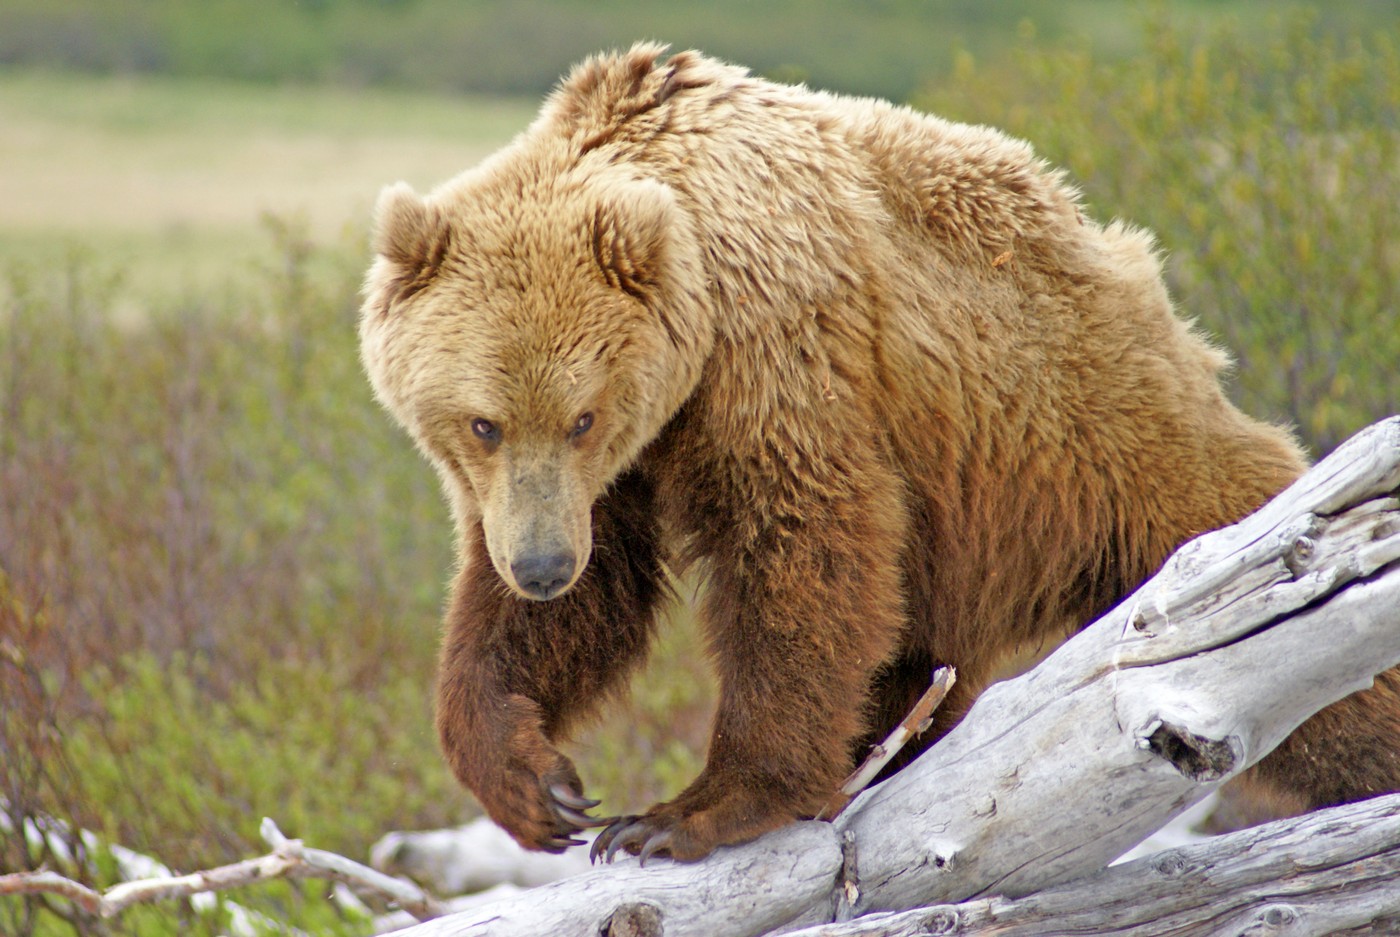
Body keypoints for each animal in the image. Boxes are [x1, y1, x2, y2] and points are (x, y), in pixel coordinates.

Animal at [359, 43, 1400, 863]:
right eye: (482, 421)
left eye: (581, 415)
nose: (541, 564)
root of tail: (1160, 306)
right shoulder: (602, 477)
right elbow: (588, 593)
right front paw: (535, 780)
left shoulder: (774, 353)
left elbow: (806, 550)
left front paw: (685, 813)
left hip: (1108, 447)